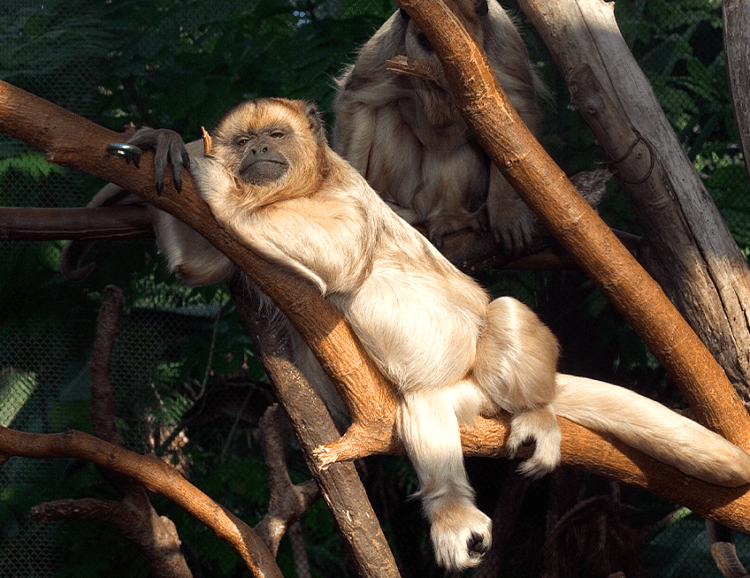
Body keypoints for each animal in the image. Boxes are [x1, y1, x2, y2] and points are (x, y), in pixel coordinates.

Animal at [114, 97, 750, 572]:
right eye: (244, 141)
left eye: (274, 134)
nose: (258, 152)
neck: (302, 184)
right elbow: (197, 267)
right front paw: (161, 143)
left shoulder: (347, 189)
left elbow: (343, 254)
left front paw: (202, 167)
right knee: (423, 401)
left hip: (481, 392)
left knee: (489, 330)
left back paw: (522, 429)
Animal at [332, 0, 547, 254]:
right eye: (427, 41)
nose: (436, 70)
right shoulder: (388, 47)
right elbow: (357, 99)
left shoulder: (505, 45)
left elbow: (519, 111)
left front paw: (507, 209)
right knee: (386, 113)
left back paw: (449, 217)